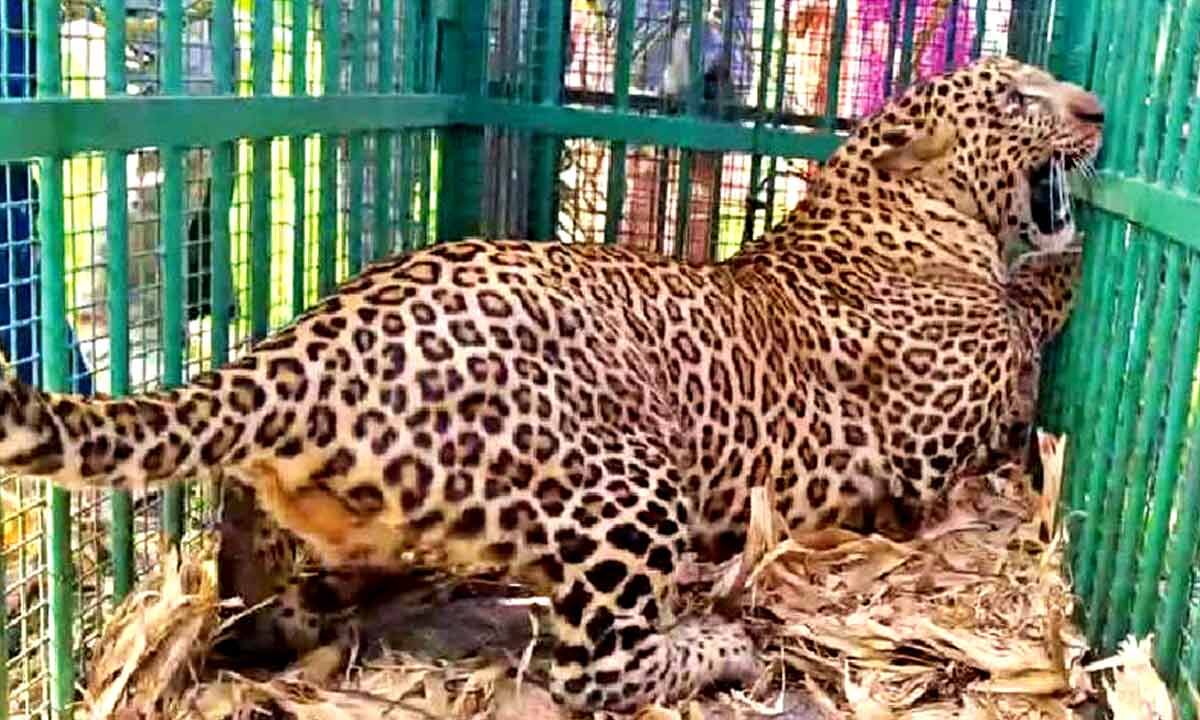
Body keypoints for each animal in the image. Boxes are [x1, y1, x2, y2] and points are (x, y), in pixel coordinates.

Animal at [0, 56, 1102, 713]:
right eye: (1016, 95)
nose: (1096, 108)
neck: (893, 204)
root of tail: (303, 348)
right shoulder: (940, 421)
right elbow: (1035, 301)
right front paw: (1076, 252)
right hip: (633, 484)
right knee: (594, 668)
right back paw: (723, 645)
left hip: (315, 547)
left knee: (279, 617)